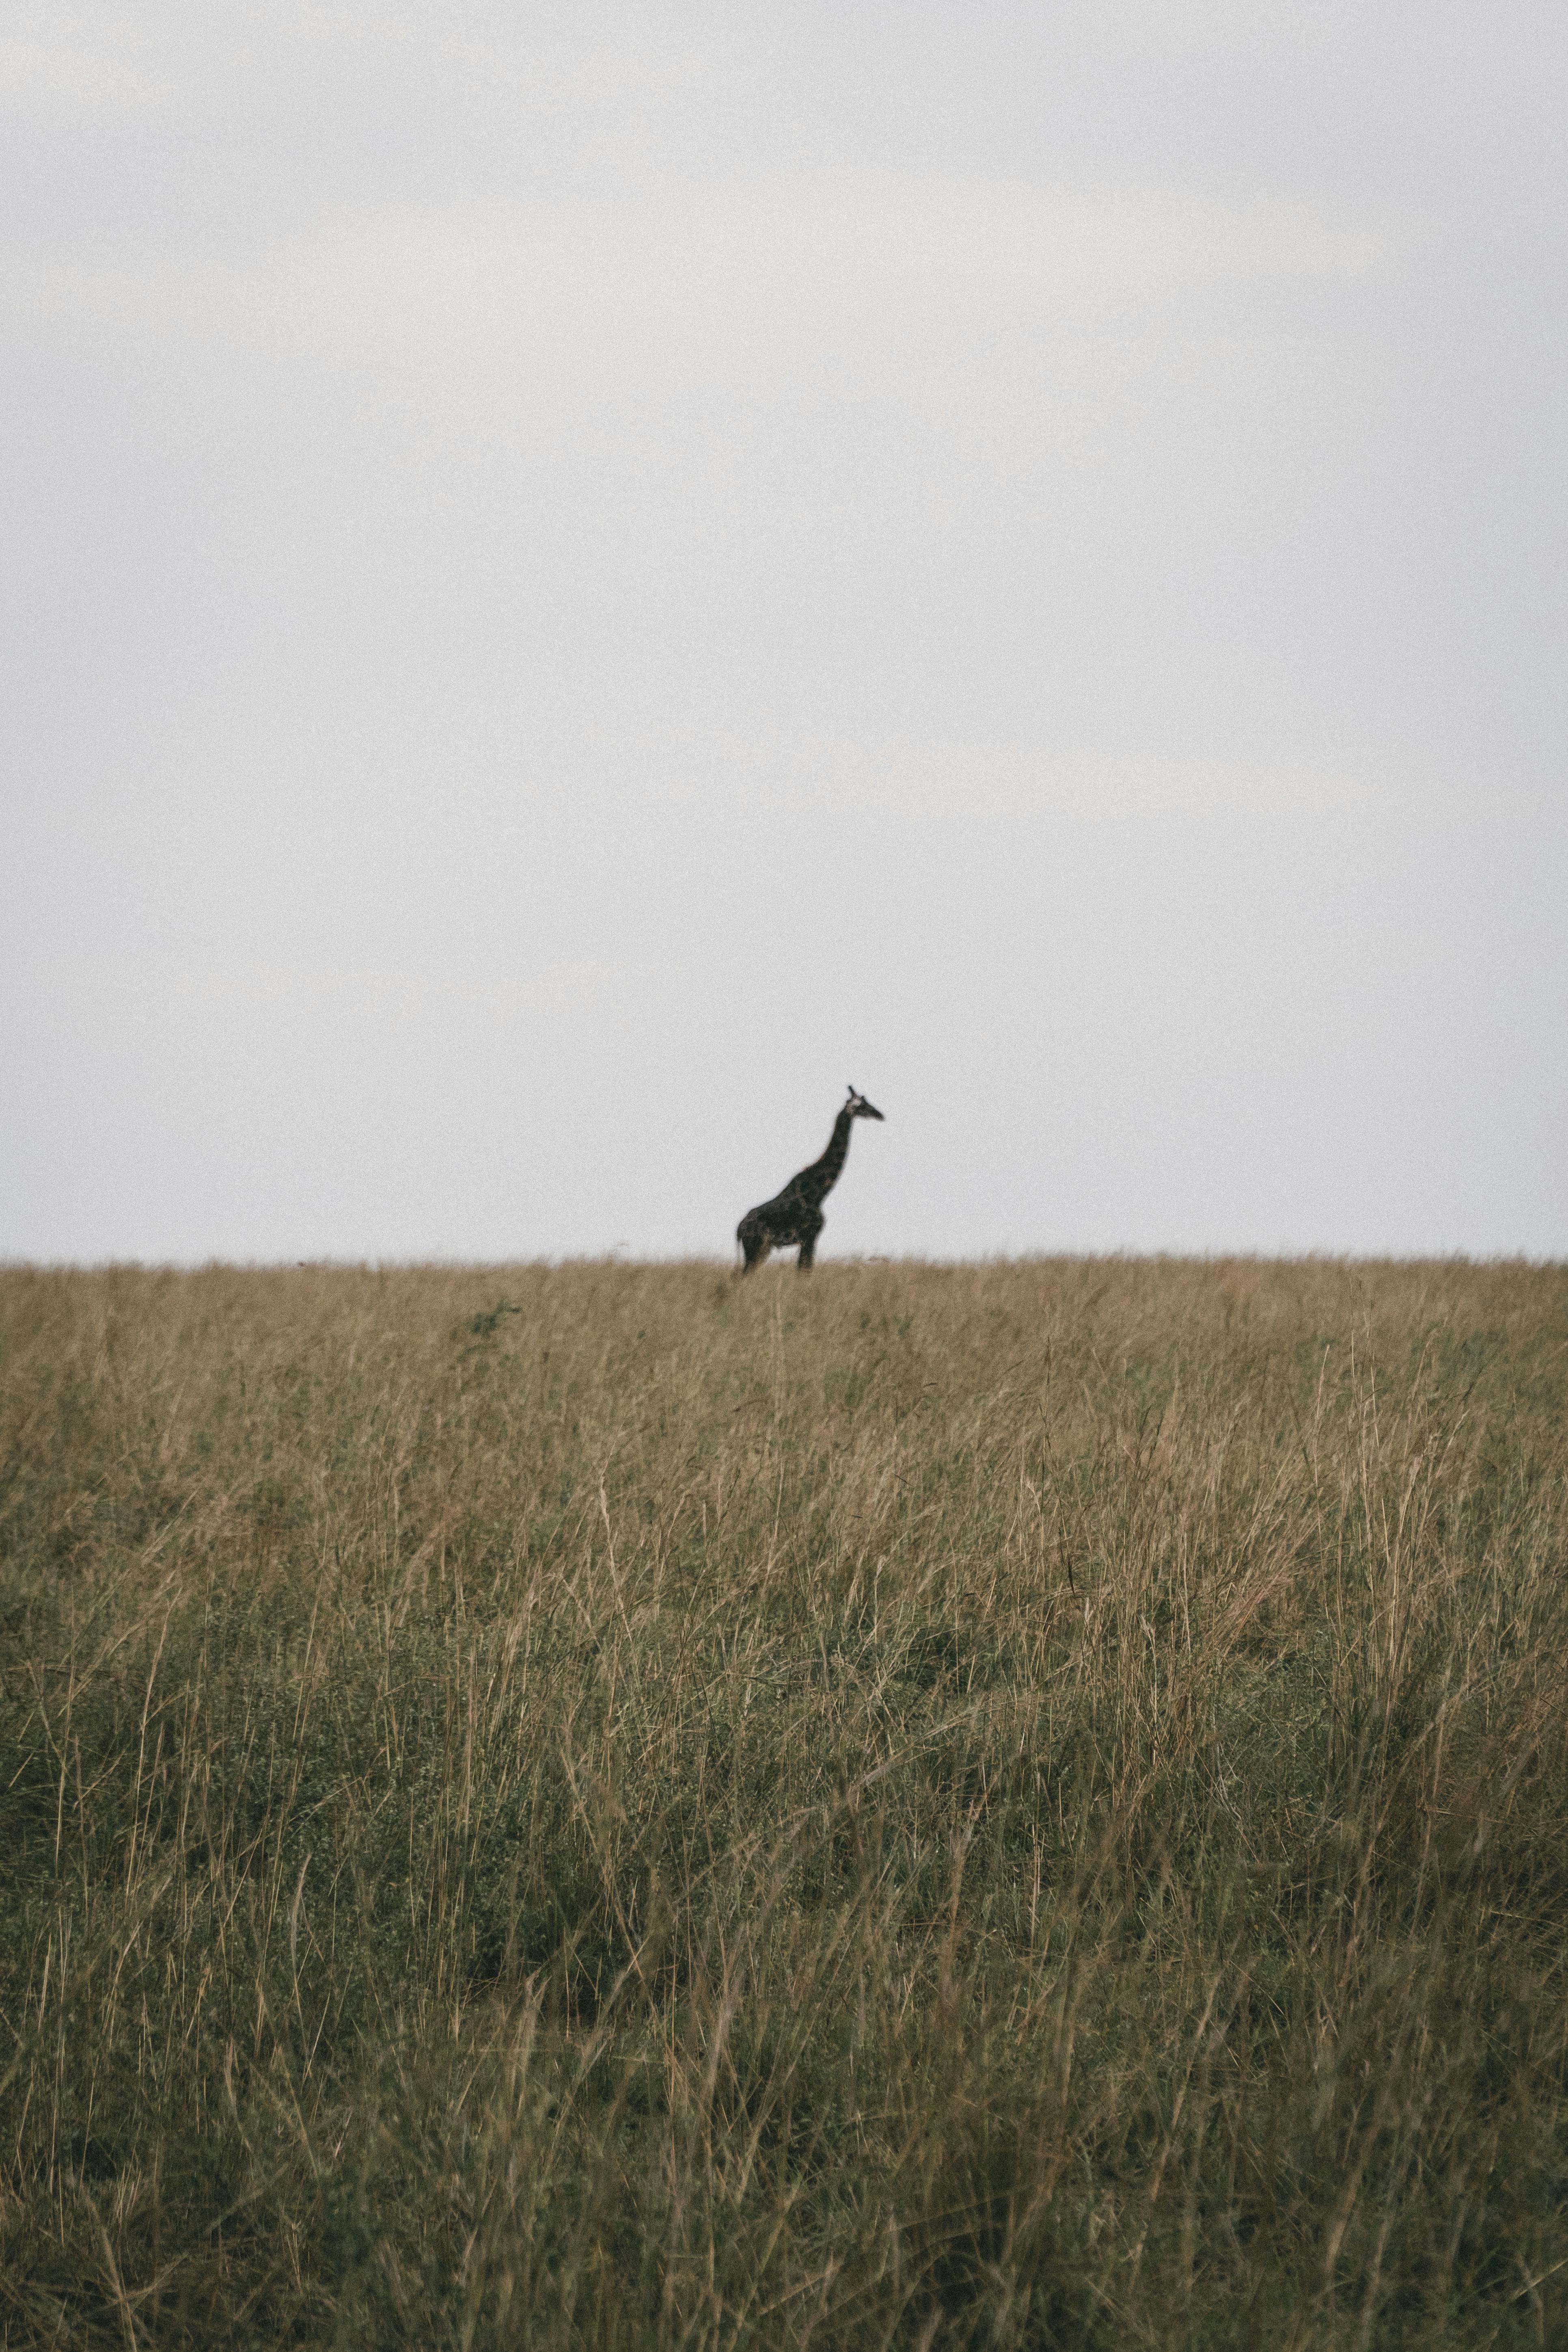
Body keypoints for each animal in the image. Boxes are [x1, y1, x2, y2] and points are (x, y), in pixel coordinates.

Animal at [737, 1086, 885, 1272]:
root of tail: (739, 1229)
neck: (819, 1194)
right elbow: (804, 1272)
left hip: (763, 1249)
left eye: (867, 1100)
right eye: (862, 1106)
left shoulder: (807, 1239)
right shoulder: (810, 1236)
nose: (880, 1115)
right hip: (755, 1246)